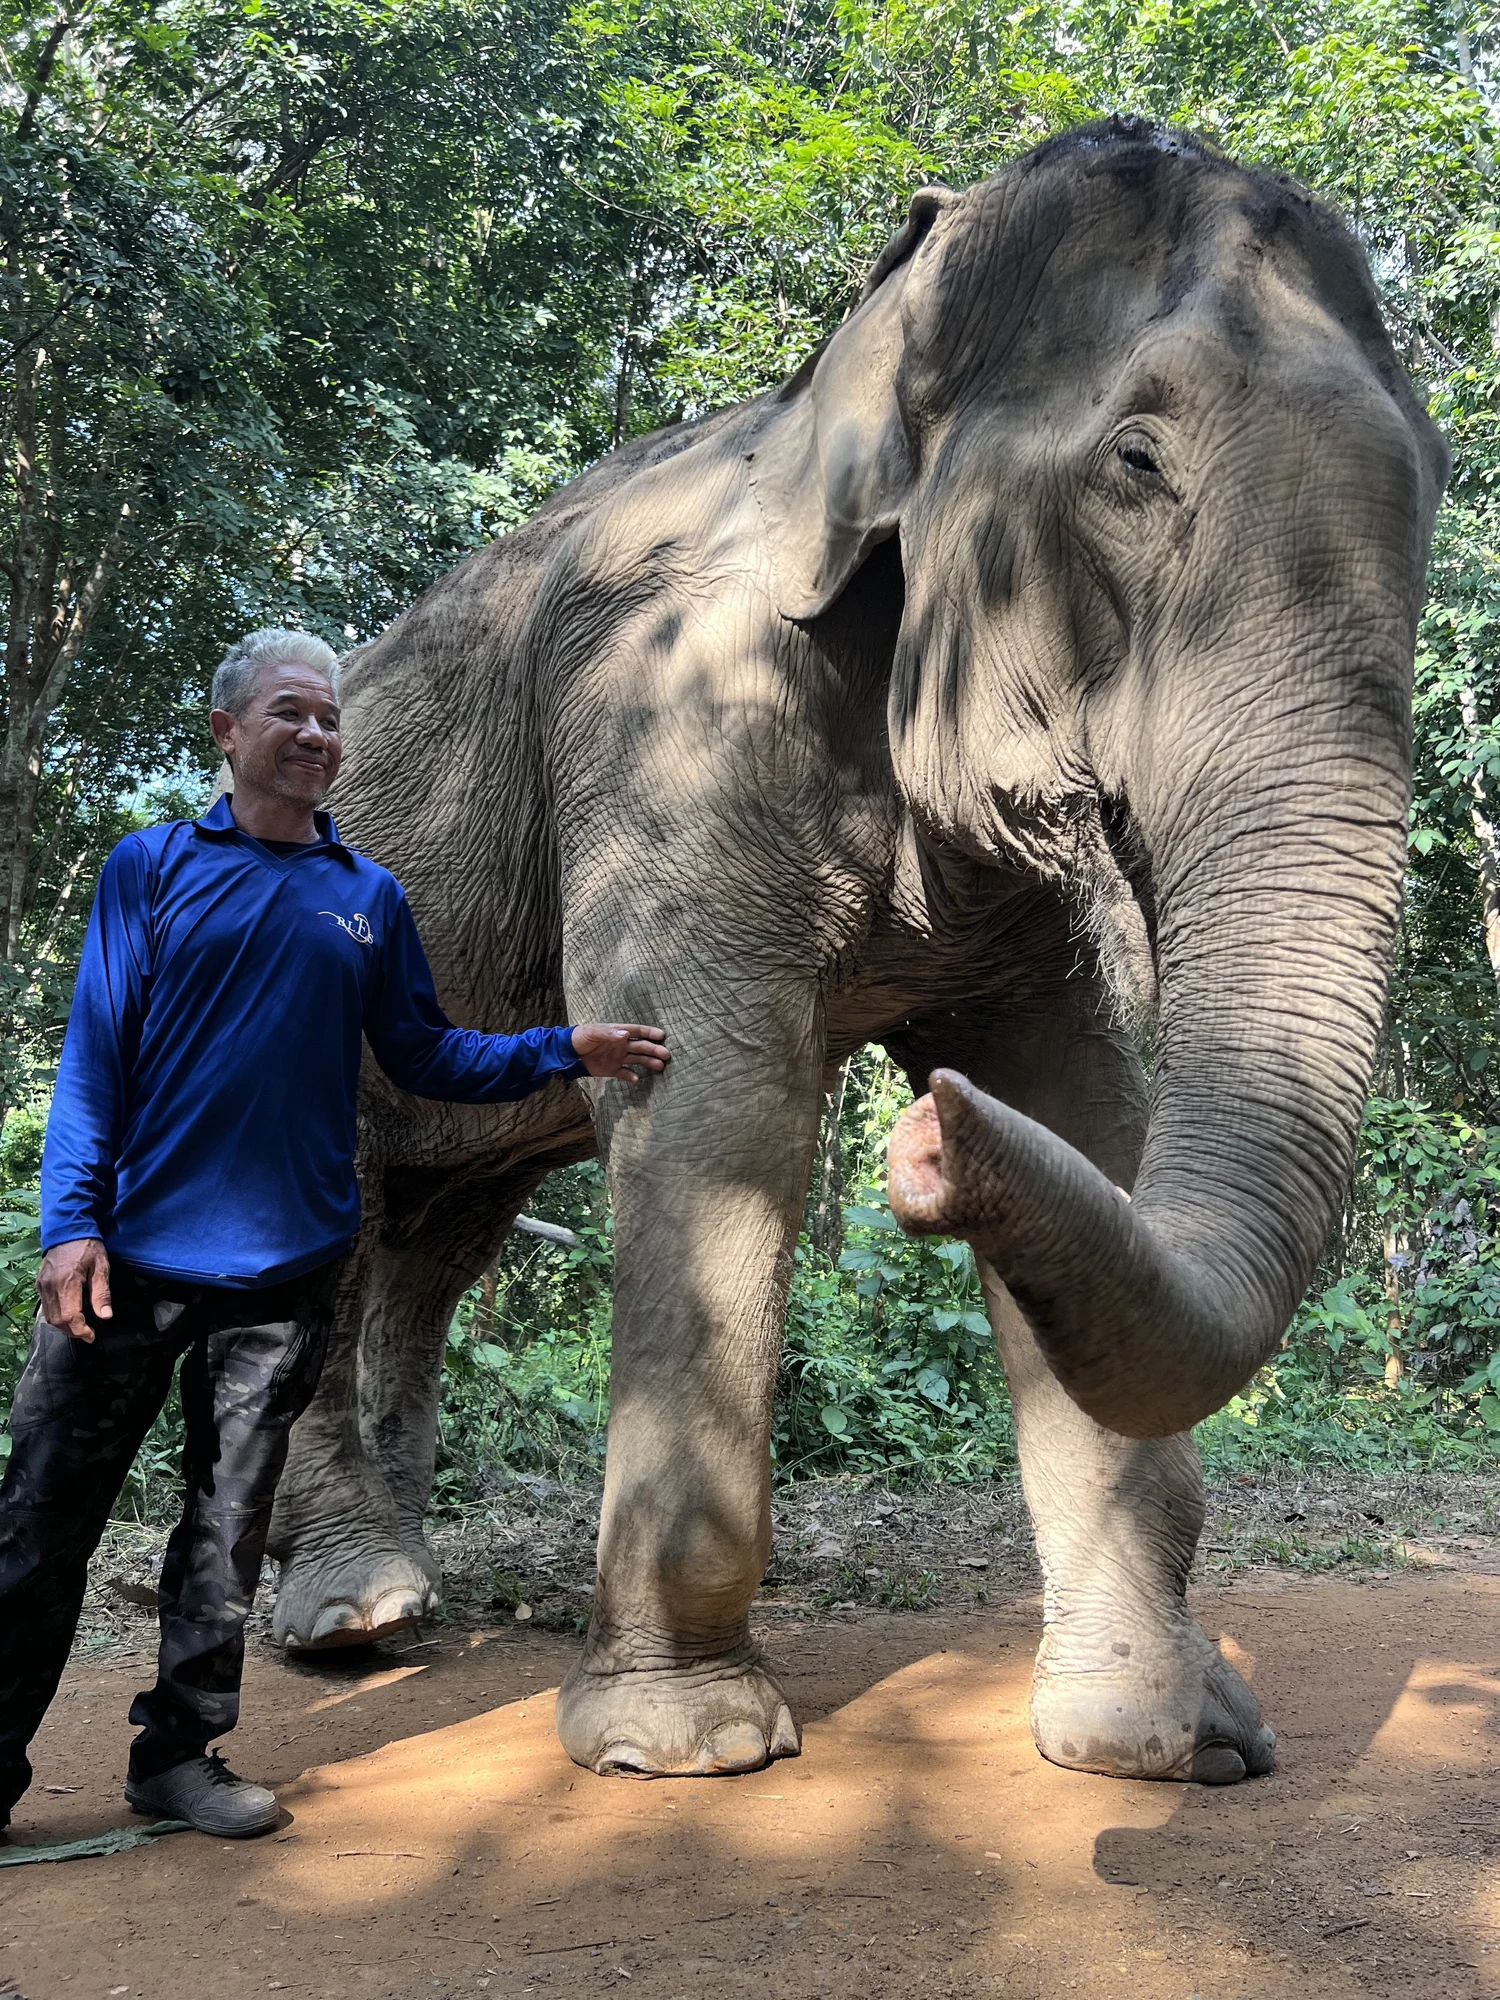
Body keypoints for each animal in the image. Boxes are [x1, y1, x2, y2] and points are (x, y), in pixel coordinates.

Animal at [264, 115, 1446, 1787]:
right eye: (1137, 465)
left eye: (1446, 483)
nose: (922, 1149)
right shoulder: (662, 710)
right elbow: (718, 1099)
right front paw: (682, 1750)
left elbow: (1084, 1115)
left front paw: (1173, 1742)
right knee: (349, 1223)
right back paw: (355, 1614)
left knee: (440, 1242)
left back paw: (399, 1583)